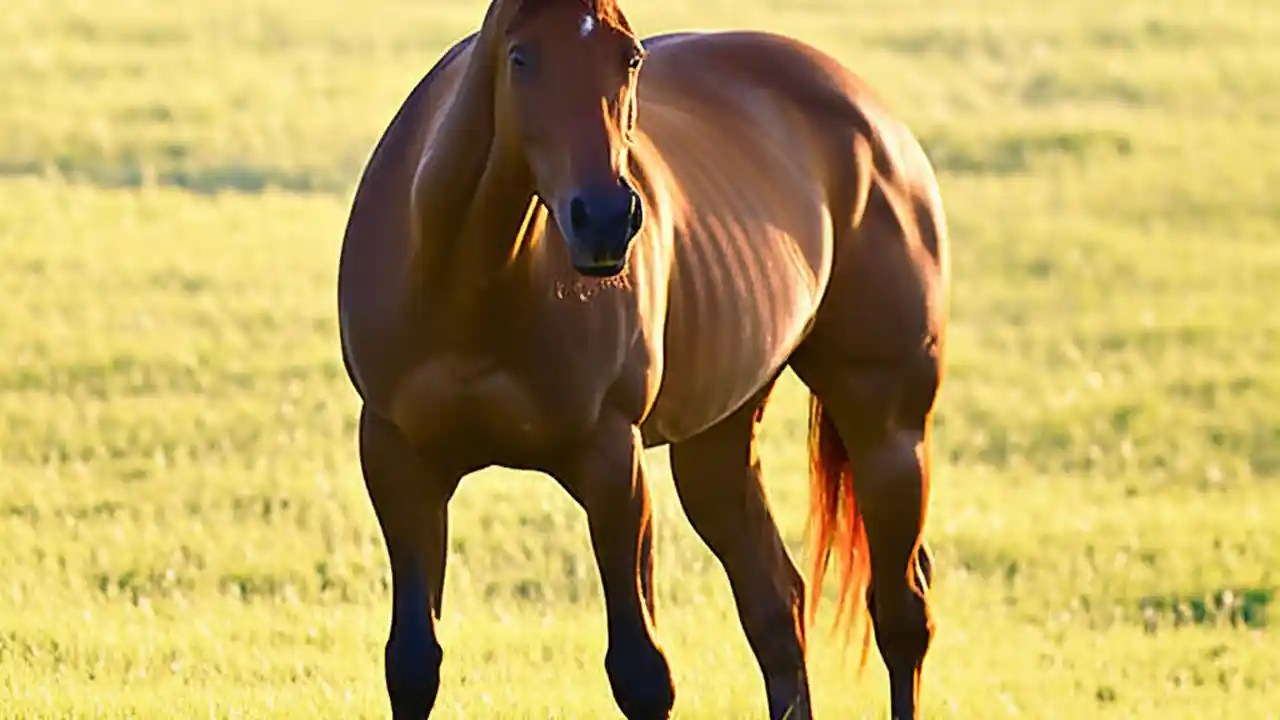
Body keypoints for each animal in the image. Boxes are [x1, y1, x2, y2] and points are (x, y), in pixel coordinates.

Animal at [337, 0, 949, 717]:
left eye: (629, 57)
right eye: (520, 57)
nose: (604, 219)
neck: (469, 278)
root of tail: (872, 117)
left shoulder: (611, 463)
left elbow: (641, 673)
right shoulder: (397, 459)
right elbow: (411, 664)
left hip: (888, 427)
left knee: (901, 617)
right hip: (718, 443)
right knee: (777, 606)